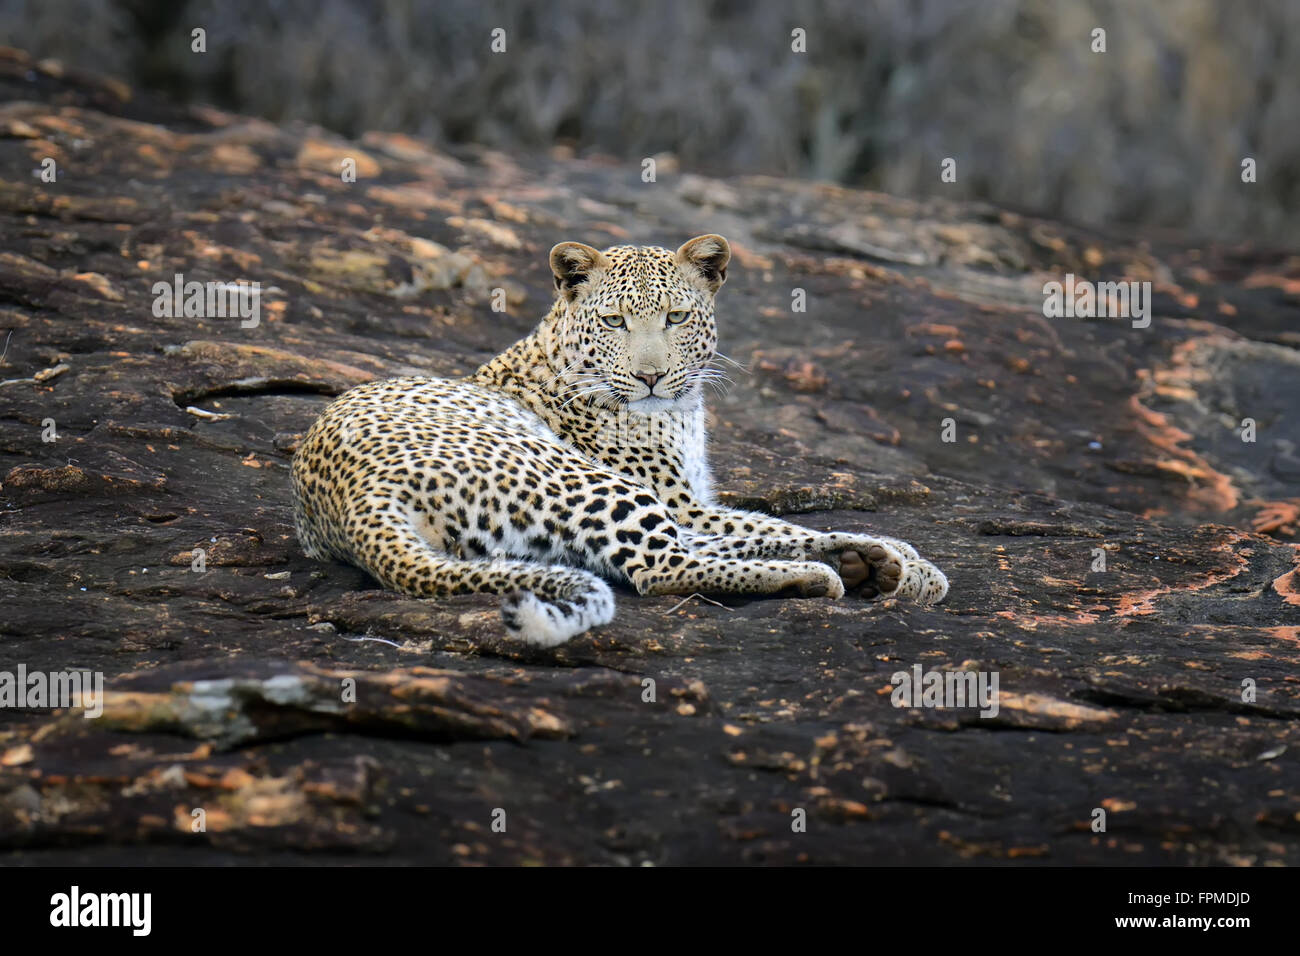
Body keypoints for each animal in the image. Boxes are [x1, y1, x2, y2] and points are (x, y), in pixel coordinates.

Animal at [291, 234, 948, 647]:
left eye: (677, 318)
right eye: (614, 322)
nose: (651, 375)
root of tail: (350, 503)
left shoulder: (695, 503)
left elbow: (774, 525)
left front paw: (898, 557)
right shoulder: (683, 501)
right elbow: (770, 525)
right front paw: (907, 564)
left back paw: (858, 565)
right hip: (575, 476)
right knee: (661, 567)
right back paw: (820, 576)